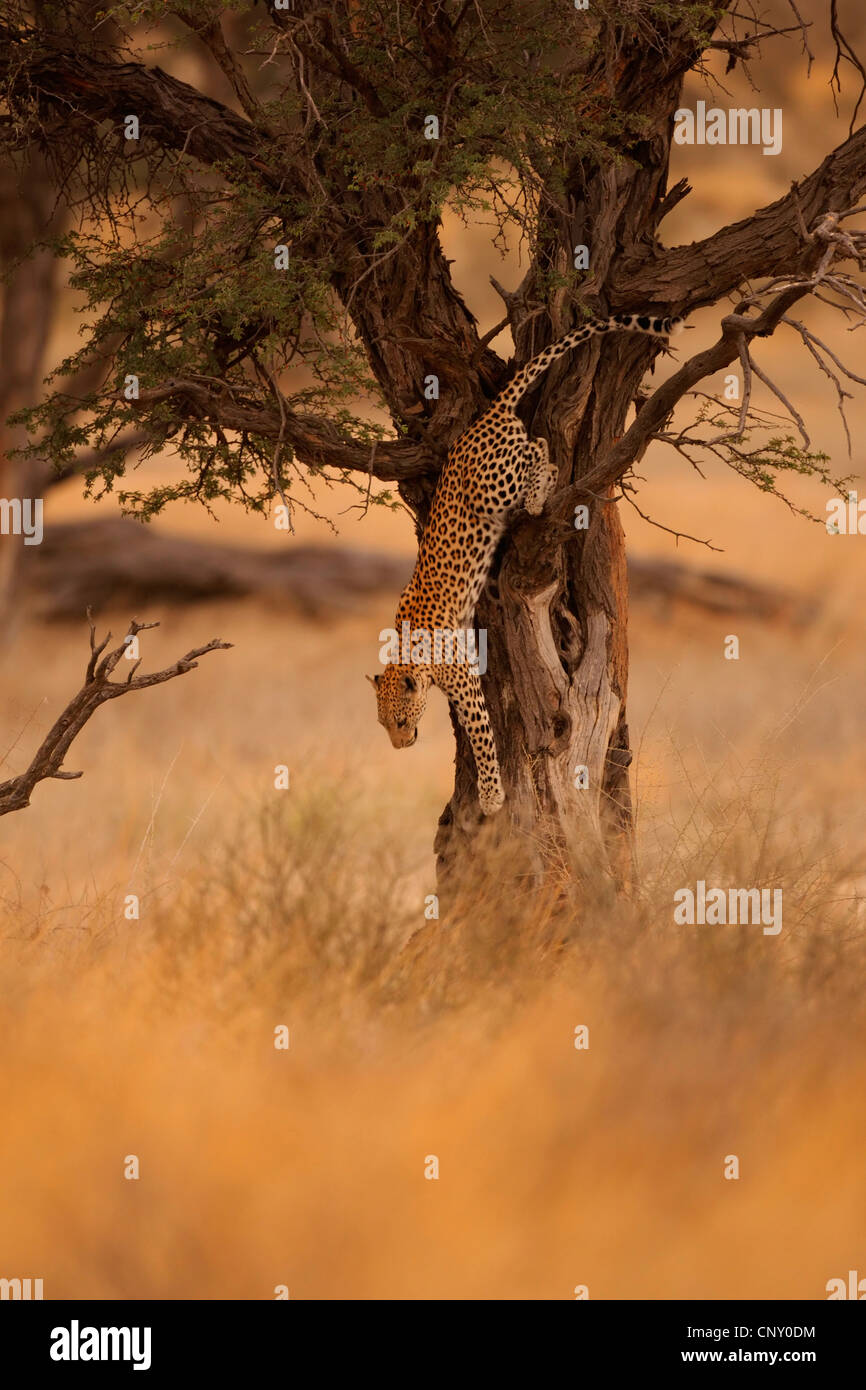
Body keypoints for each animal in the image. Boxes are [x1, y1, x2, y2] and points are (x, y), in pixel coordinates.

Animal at [369, 311, 683, 815]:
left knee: (537, 446)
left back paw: (539, 493)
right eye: (384, 724)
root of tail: (483, 419)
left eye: (399, 721)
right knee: (535, 443)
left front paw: (492, 797)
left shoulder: (464, 681)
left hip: (490, 486)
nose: (401, 746)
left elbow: (481, 735)